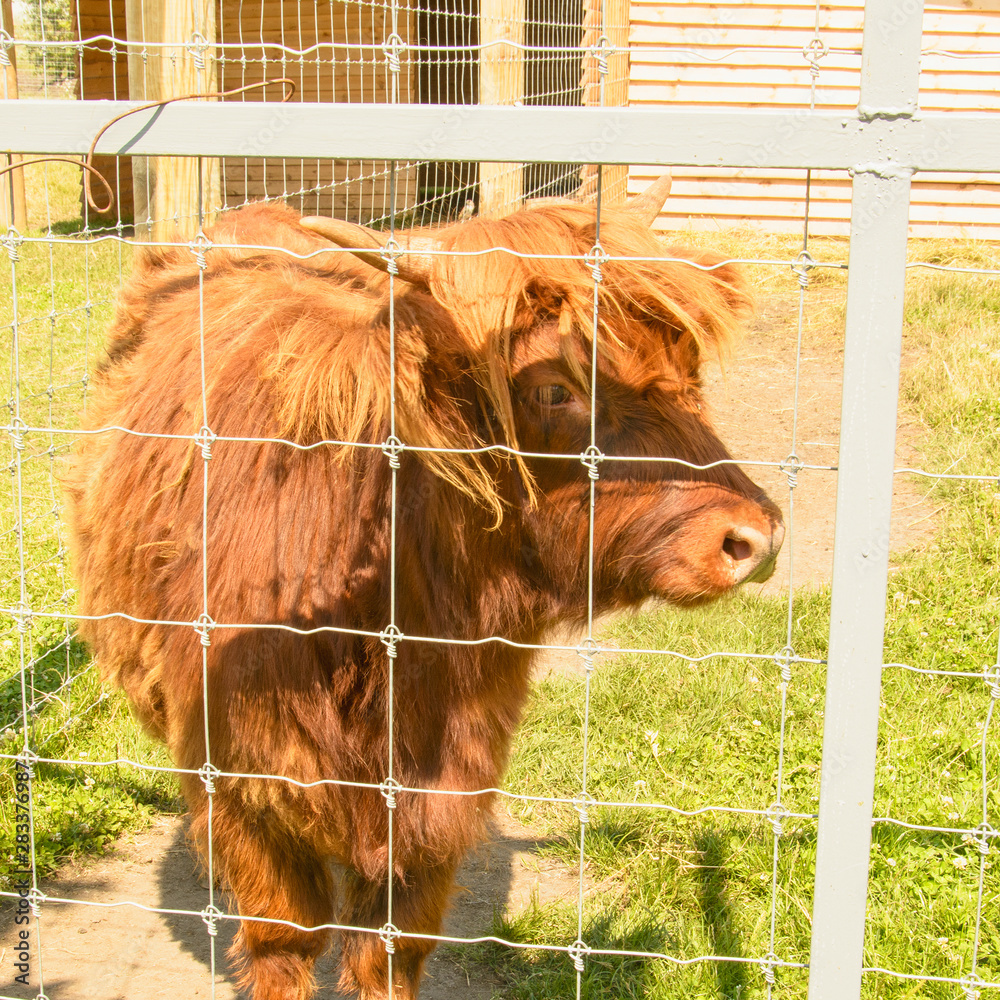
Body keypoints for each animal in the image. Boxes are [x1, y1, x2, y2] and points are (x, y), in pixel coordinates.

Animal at [64, 174, 783, 1000]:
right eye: (552, 389)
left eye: (685, 356)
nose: (754, 538)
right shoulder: (251, 779)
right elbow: (283, 940)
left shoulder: (447, 782)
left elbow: (392, 949)